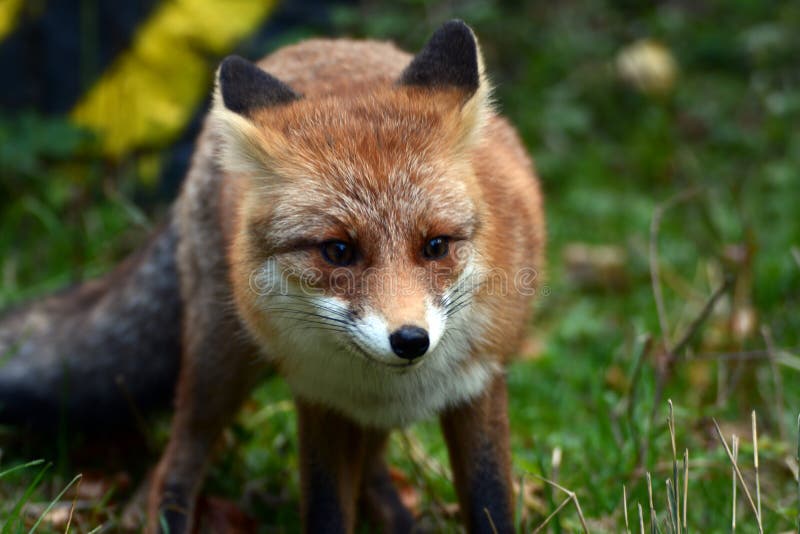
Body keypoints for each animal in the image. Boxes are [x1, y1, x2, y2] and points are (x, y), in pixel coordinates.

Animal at [0, 20, 544, 533]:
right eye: (337, 251)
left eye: (435, 246)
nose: (410, 340)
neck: (388, 384)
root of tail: (312, 44)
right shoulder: (320, 397)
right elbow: (326, 511)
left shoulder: (480, 383)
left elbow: (491, 502)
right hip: (218, 360)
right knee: (177, 459)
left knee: (371, 466)